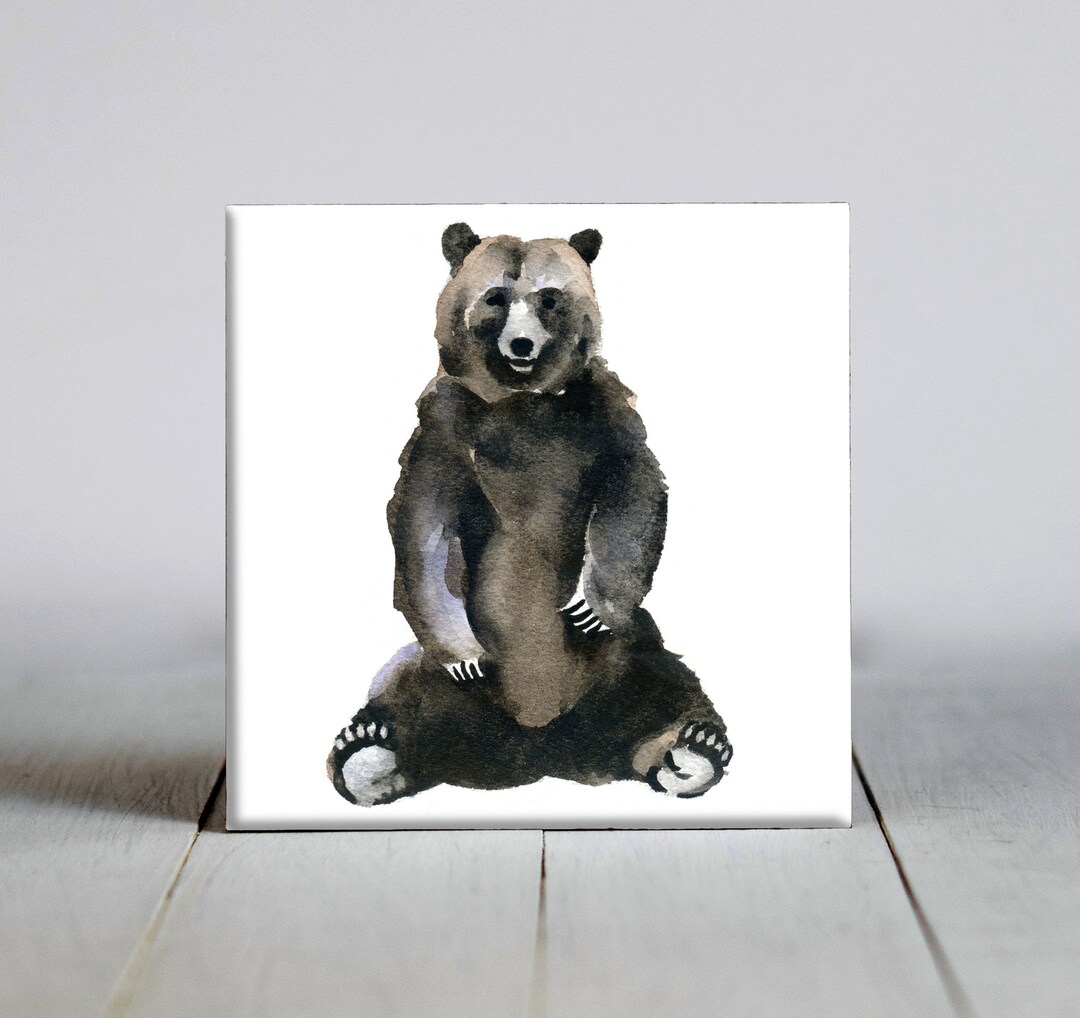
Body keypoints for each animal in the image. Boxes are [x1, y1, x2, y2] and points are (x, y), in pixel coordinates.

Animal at [327, 223, 732, 807]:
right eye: (496, 297)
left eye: (549, 298)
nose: (521, 344)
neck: (522, 400)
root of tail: (541, 746)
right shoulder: (446, 425)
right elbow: (423, 524)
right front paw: (465, 654)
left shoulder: (600, 414)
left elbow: (634, 492)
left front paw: (588, 605)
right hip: (433, 683)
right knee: (403, 698)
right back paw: (369, 751)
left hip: (628, 656)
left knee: (668, 685)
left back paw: (695, 748)